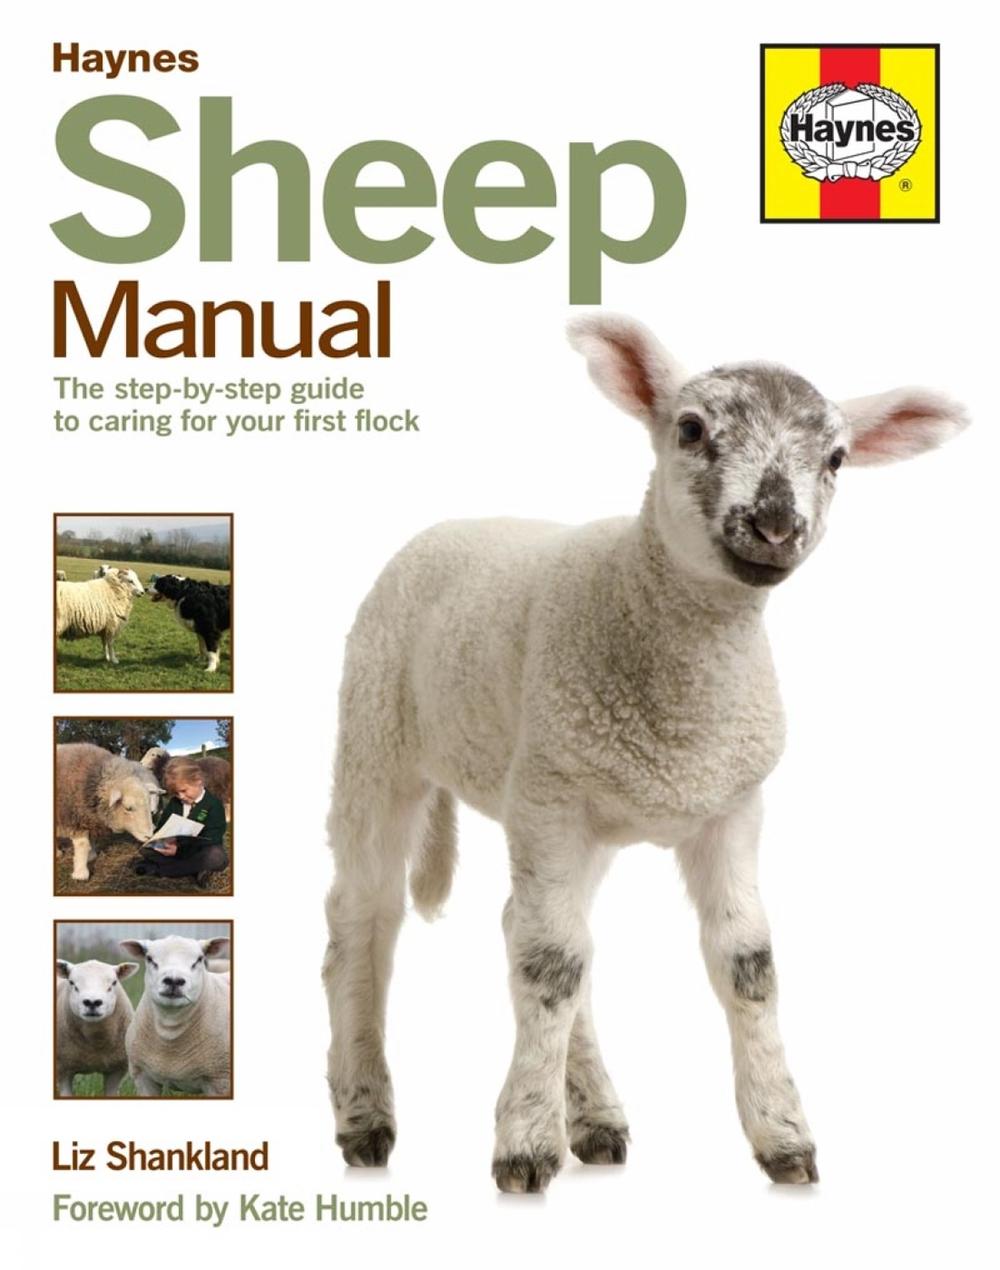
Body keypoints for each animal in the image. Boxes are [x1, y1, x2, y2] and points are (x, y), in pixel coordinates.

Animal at [56, 743, 156, 882]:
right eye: (128, 808)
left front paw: (91, 855)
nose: (149, 836)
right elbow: (82, 844)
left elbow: (91, 838)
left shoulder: (90, 818)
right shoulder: (74, 818)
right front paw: (81, 873)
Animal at [322, 314, 969, 1192]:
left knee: (526, 926)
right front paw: (525, 1143)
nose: (775, 526)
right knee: (365, 919)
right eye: (691, 429)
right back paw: (365, 1116)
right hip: (378, 740)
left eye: (836, 459)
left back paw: (594, 1116)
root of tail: (452, 525)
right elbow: (550, 964)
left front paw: (783, 1136)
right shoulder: (549, 794)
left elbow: (745, 963)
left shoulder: (730, 805)